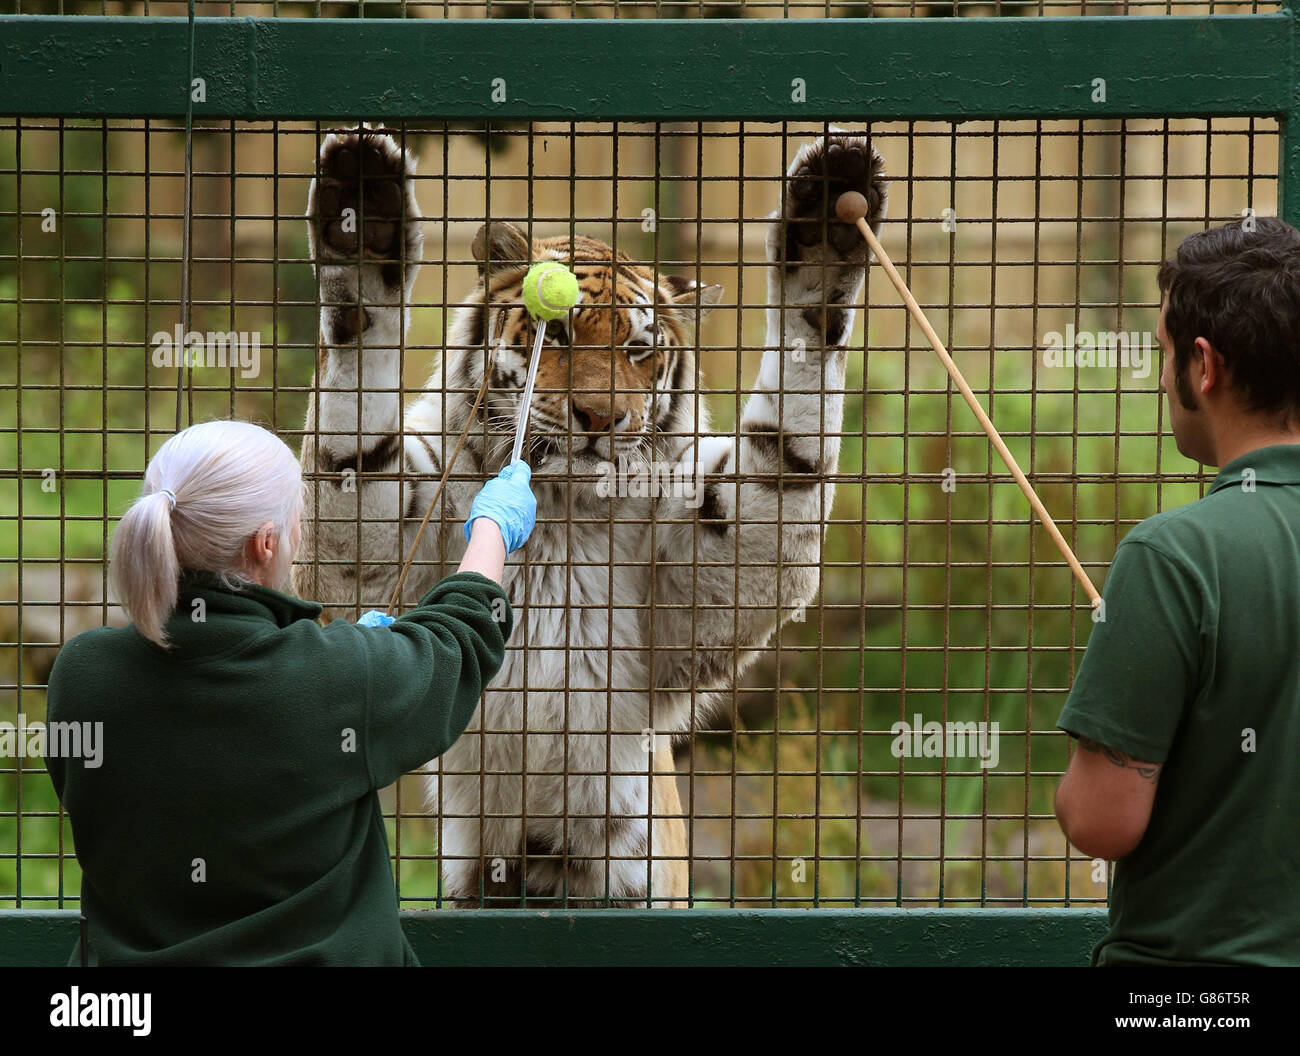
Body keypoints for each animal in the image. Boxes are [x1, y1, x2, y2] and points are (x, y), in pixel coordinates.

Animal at [293, 125, 888, 907]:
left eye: (638, 350)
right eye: (562, 335)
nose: (602, 419)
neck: (559, 508)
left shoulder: (709, 582)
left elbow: (785, 443)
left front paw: (823, 235)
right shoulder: (380, 549)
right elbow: (354, 399)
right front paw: (364, 219)